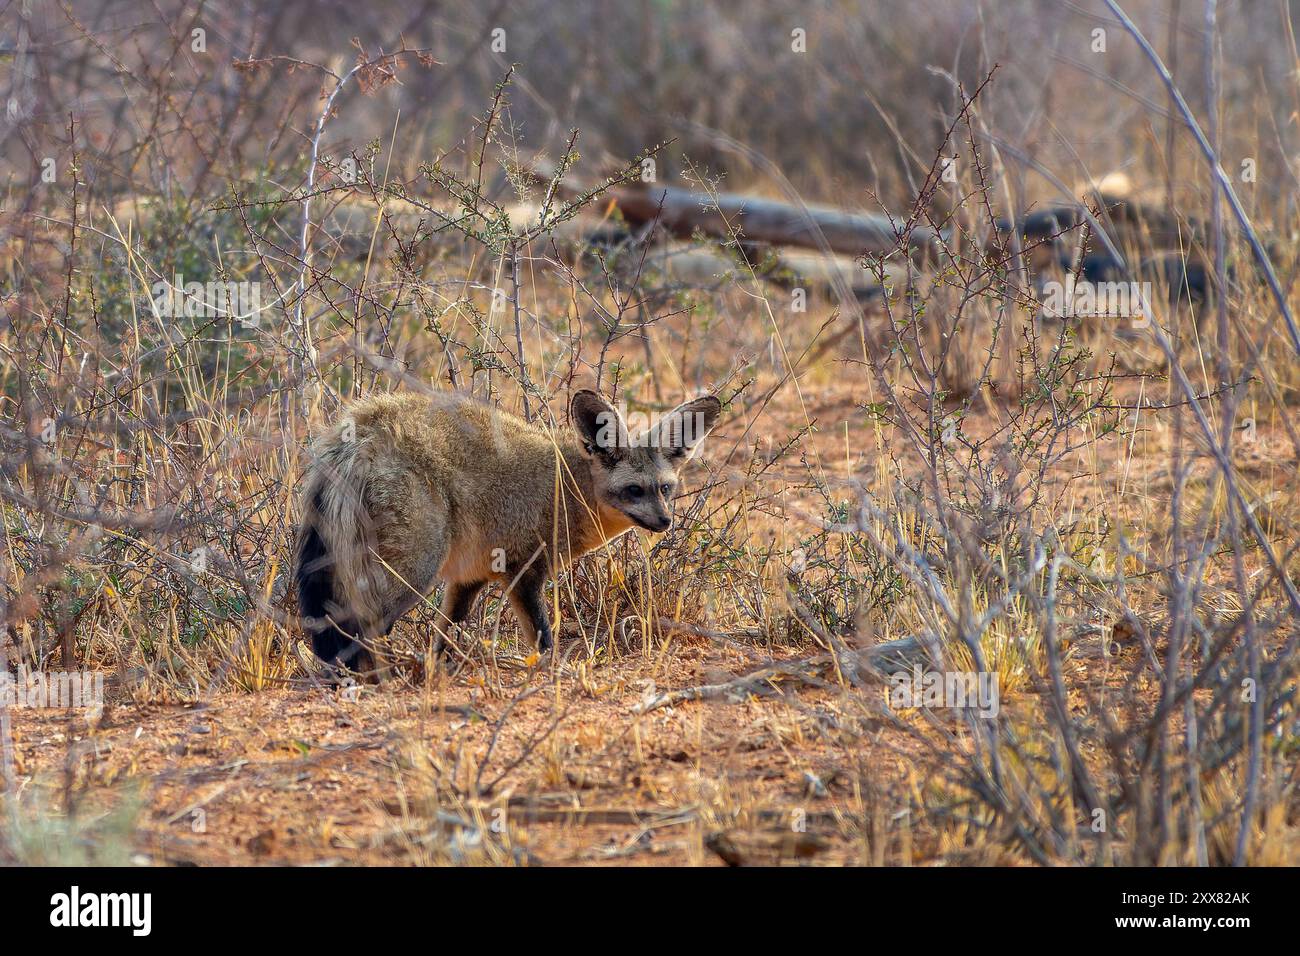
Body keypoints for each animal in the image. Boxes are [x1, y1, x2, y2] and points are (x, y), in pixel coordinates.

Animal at [293, 388, 722, 675]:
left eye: (665, 489)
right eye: (634, 490)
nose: (665, 522)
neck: (567, 483)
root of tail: (367, 426)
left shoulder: (468, 577)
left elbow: (445, 635)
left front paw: (436, 668)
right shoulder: (523, 571)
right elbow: (543, 637)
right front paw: (554, 670)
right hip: (415, 571)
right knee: (364, 627)